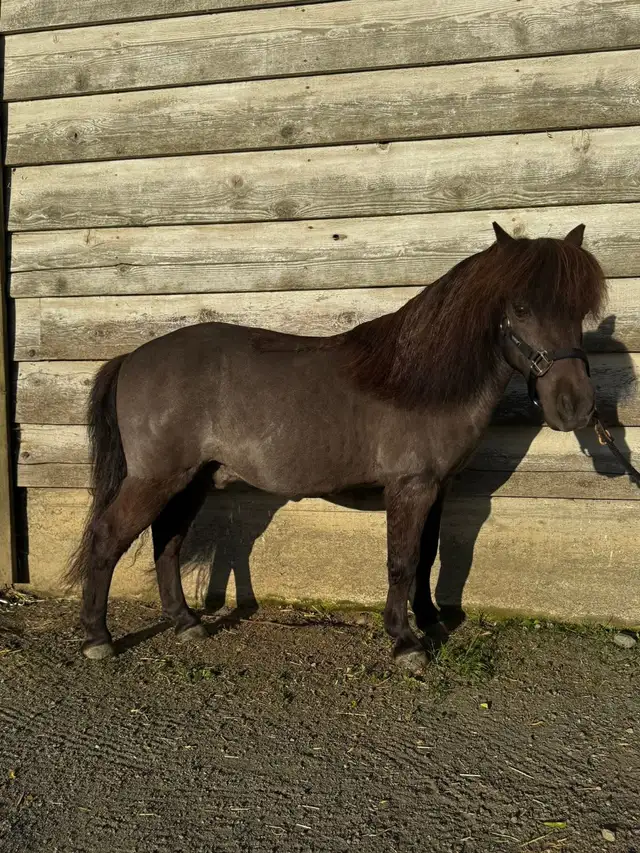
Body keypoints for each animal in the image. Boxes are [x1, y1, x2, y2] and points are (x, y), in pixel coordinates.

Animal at [66, 221, 606, 669]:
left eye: (580, 311)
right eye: (521, 308)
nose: (574, 406)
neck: (419, 380)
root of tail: (133, 356)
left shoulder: (437, 489)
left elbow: (427, 555)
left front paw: (431, 623)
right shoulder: (410, 488)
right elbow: (402, 561)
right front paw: (405, 641)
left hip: (193, 479)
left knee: (169, 541)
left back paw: (185, 623)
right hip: (156, 478)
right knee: (107, 537)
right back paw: (97, 637)